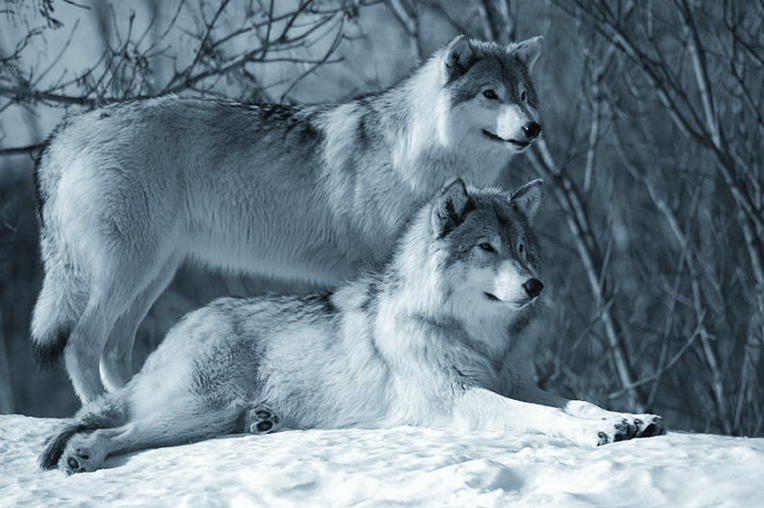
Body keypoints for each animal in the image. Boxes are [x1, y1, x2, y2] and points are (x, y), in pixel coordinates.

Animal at [31, 35, 545, 403]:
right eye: (490, 94)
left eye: (524, 95)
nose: (533, 127)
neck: (416, 154)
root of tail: (66, 131)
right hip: (127, 272)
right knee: (81, 344)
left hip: (152, 275)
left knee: (114, 349)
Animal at [40, 179, 665, 474]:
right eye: (486, 248)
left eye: (522, 249)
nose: (535, 286)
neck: (475, 335)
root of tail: (182, 323)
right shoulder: (462, 399)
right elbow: (545, 417)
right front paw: (594, 434)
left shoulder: (517, 382)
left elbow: (574, 401)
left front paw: (627, 419)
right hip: (198, 407)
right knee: (111, 432)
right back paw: (82, 458)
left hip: (206, 416)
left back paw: (261, 423)